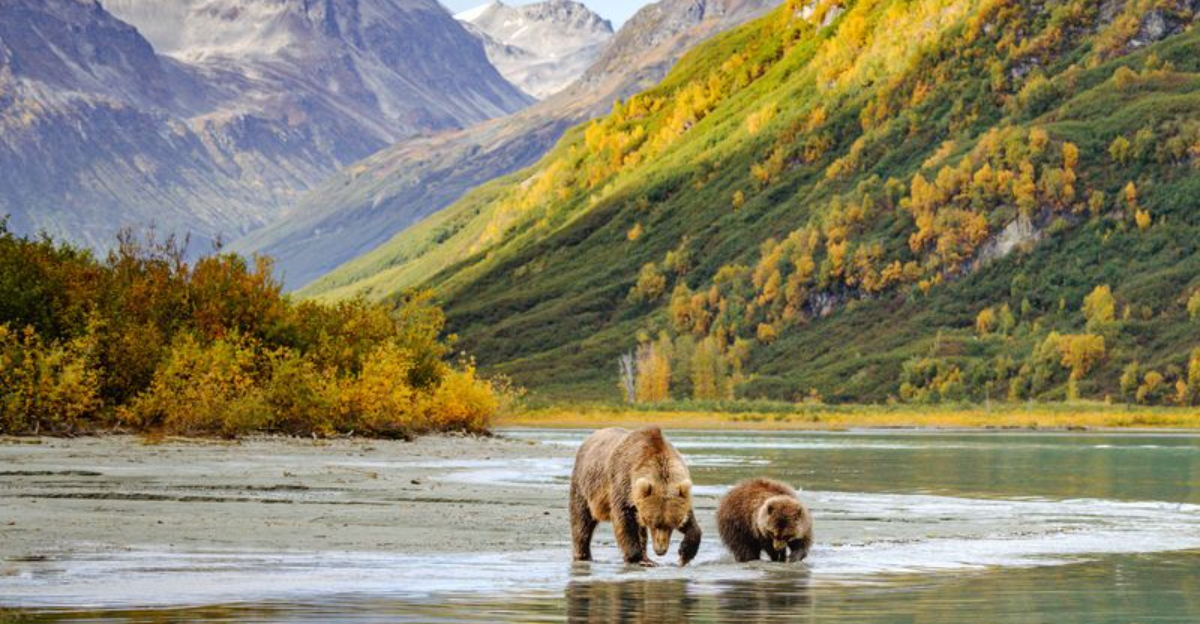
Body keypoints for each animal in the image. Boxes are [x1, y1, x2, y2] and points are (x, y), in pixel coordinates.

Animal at [569, 426, 702, 566]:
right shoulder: (623, 485)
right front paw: (638, 558)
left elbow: (690, 522)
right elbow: (625, 520)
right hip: (584, 483)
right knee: (581, 519)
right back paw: (583, 555)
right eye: (653, 523)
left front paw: (685, 554)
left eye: (672, 524)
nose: (660, 551)